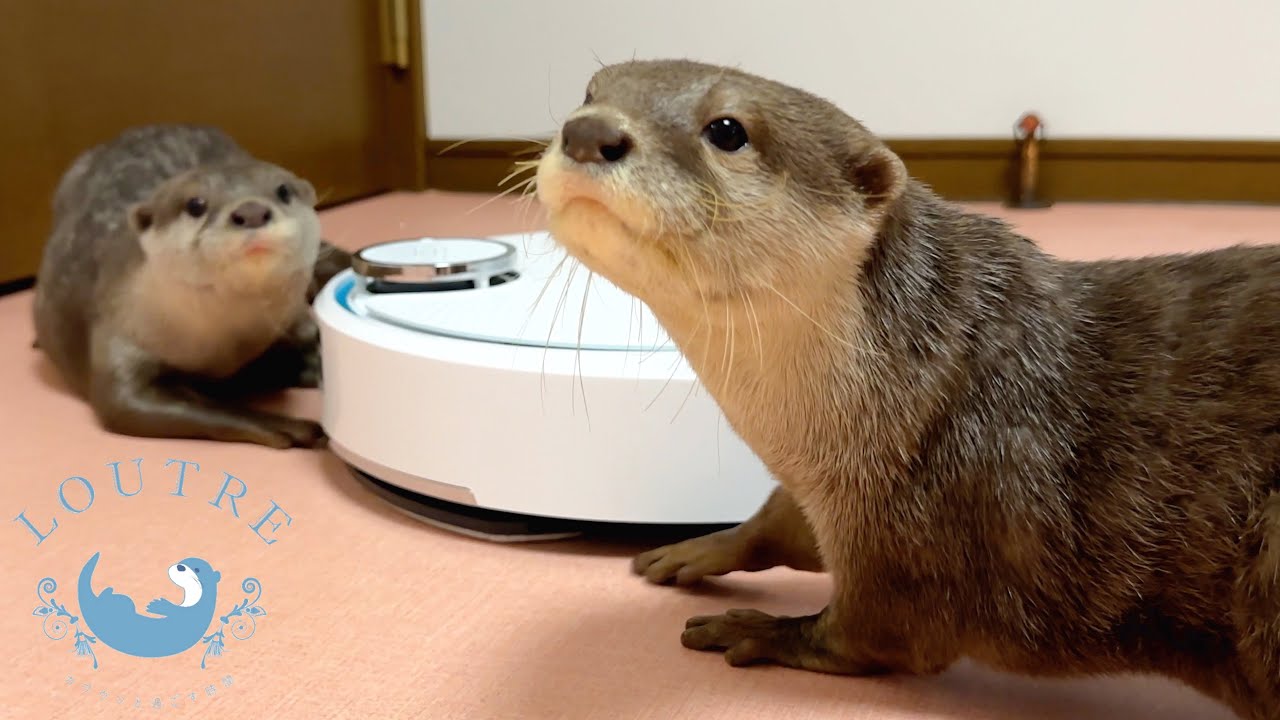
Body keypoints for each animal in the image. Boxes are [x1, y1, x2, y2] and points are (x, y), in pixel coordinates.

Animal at [33, 124, 350, 449]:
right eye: (196, 204)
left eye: (283, 191)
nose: (251, 211)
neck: (225, 348)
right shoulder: (117, 337)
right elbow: (124, 403)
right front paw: (287, 426)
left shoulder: (294, 322)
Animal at [535, 59, 1280, 719]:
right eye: (590, 90)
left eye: (726, 129)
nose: (587, 131)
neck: (913, 396)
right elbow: (785, 520)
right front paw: (704, 545)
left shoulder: (914, 532)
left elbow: (877, 635)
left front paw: (762, 630)